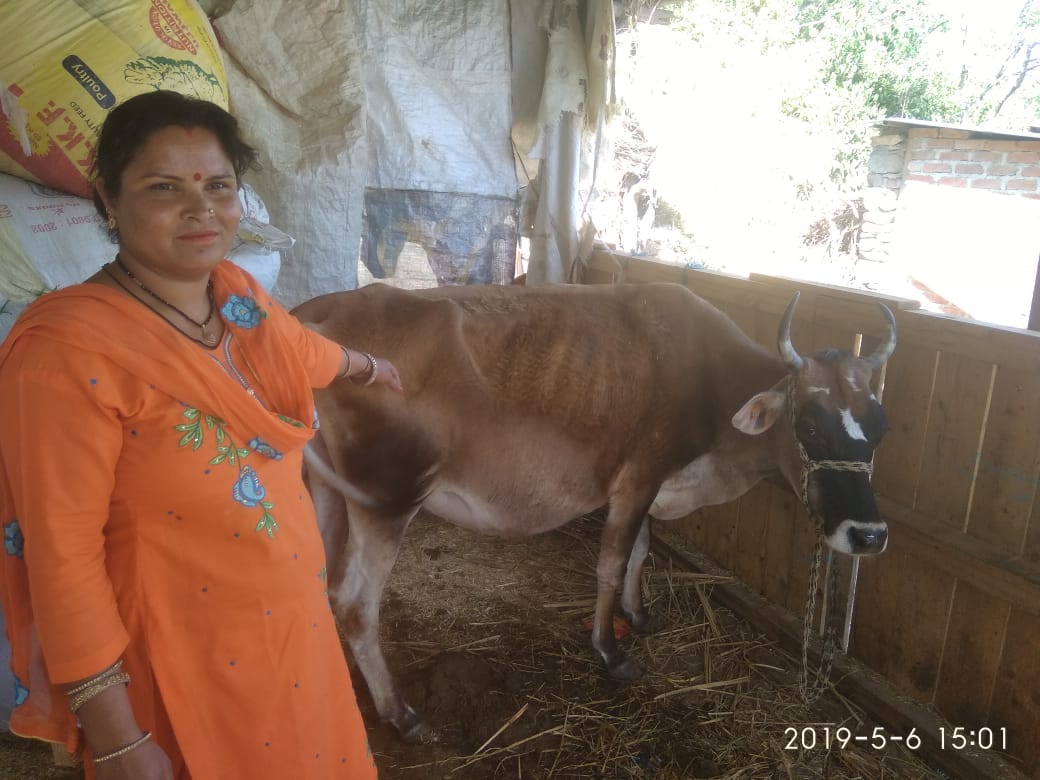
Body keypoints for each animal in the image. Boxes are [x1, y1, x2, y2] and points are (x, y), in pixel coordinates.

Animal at [292, 280, 896, 740]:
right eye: (810, 424)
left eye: (881, 424)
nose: (868, 535)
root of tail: (314, 312)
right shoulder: (639, 477)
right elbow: (612, 561)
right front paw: (609, 648)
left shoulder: (653, 485)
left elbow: (642, 553)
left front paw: (639, 614)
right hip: (387, 498)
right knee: (354, 601)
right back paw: (401, 714)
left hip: (325, 489)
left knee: (319, 582)